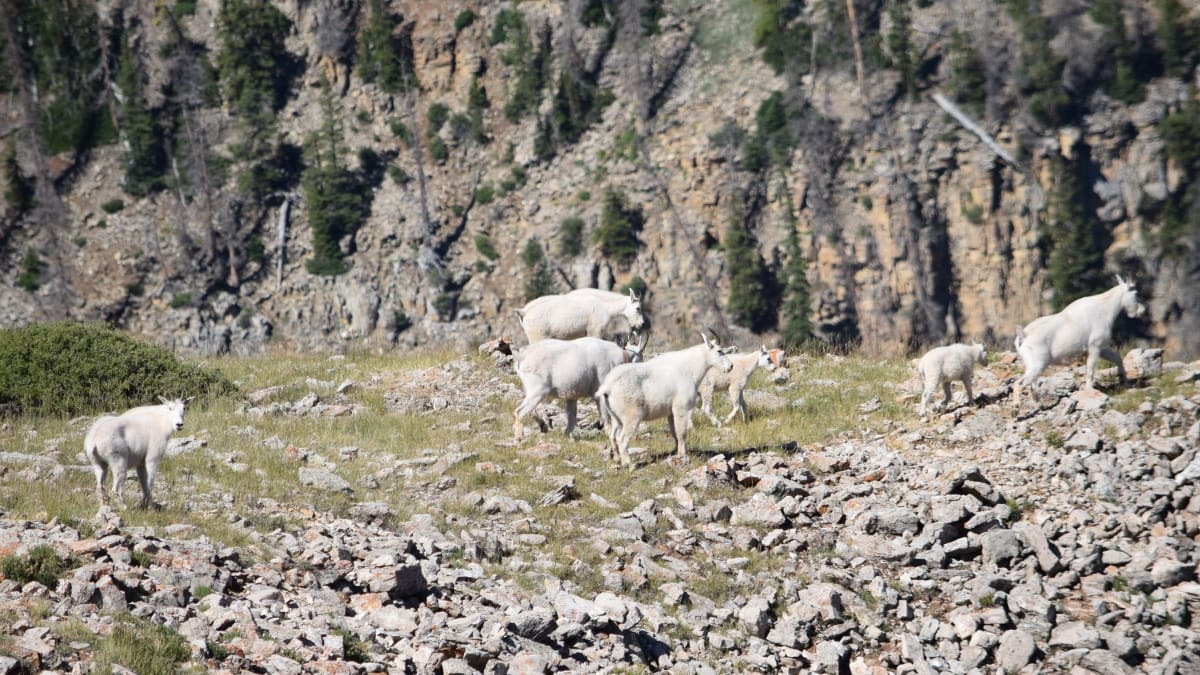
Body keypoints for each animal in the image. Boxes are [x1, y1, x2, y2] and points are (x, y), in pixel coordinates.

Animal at [512, 333, 647, 439]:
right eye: (641, 358)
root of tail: (522, 357)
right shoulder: (600, 395)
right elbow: (605, 416)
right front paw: (609, 435)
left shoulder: (571, 396)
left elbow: (572, 418)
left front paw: (567, 436)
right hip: (539, 390)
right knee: (520, 411)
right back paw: (519, 436)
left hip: (531, 390)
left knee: (530, 411)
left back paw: (543, 426)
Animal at [516, 288, 646, 343]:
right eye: (638, 308)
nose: (642, 324)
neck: (606, 307)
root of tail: (524, 312)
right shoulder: (595, 332)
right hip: (537, 336)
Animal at [596, 333, 735, 468]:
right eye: (719, 351)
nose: (731, 366)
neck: (689, 369)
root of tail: (608, 387)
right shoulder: (681, 408)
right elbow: (681, 432)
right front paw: (683, 455)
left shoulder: (670, 412)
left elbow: (674, 432)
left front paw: (676, 451)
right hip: (632, 417)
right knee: (622, 438)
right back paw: (628, 463)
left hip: (615, 417)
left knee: (613, 436)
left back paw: (617, 459)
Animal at [1014, 276, 1146, 406]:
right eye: (1135, 293)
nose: (1141, 311)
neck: (1105, 309)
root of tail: (1023, 335)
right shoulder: (1095, 346)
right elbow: (1091, 370)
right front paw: (1090, 390)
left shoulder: (1101, 348)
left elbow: (1117, 358)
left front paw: (1126, 382)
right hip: (1039, 364)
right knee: (1019, 383)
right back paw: (1017, 406)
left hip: (1031, 365)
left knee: (1029, 385)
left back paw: (1037, 403)